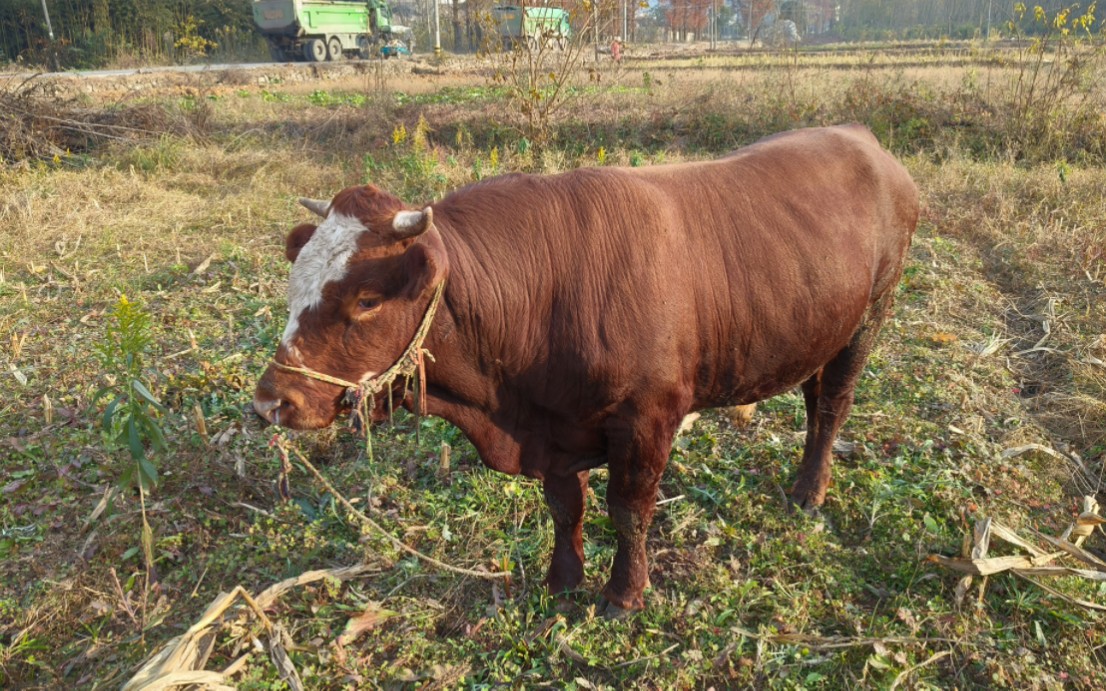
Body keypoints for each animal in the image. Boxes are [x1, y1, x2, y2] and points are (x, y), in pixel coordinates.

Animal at [254, 126, 920, 610]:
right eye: (293, 282)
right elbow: (565, 505)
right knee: (814, 398)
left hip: (869, 318)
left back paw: (809, 491)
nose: (271, 401)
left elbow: (628, 511)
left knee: (832, 404)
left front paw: (624, 594)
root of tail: (860, 137)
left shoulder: (648, 418)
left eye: (367, 300)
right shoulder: (553, 430)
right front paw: (564, 579)